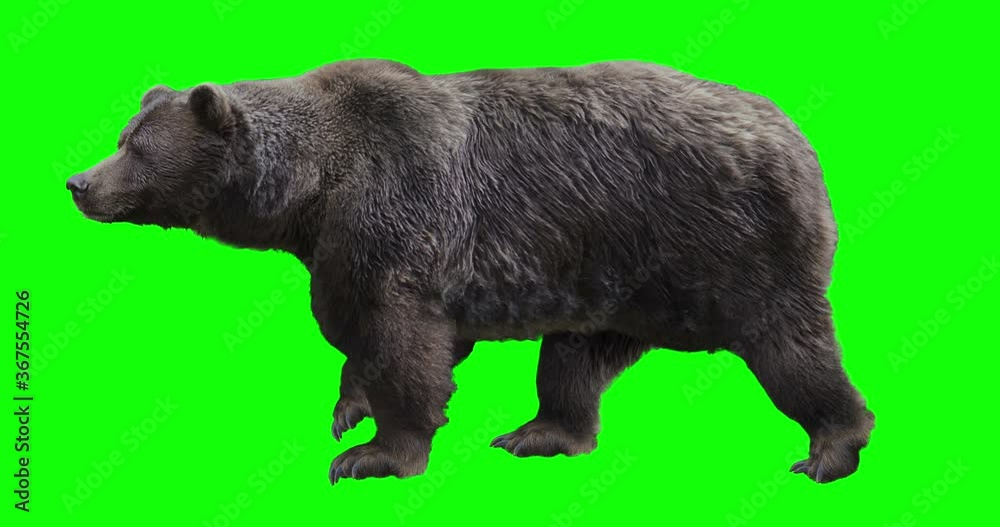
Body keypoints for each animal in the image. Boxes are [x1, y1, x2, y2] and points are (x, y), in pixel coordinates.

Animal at [67, 59, 874, 484]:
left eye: (135, 148)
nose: (78, 182)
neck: (310, 190)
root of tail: (798, 137)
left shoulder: (397, 211)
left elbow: (403, 342)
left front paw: (374, 453)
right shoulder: (349, 246)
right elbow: (383, 336)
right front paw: (347, 407)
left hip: (731, 245)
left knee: (790, 347)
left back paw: (831, 446)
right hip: (610, 274)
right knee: (573, 362)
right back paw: (541, 431)